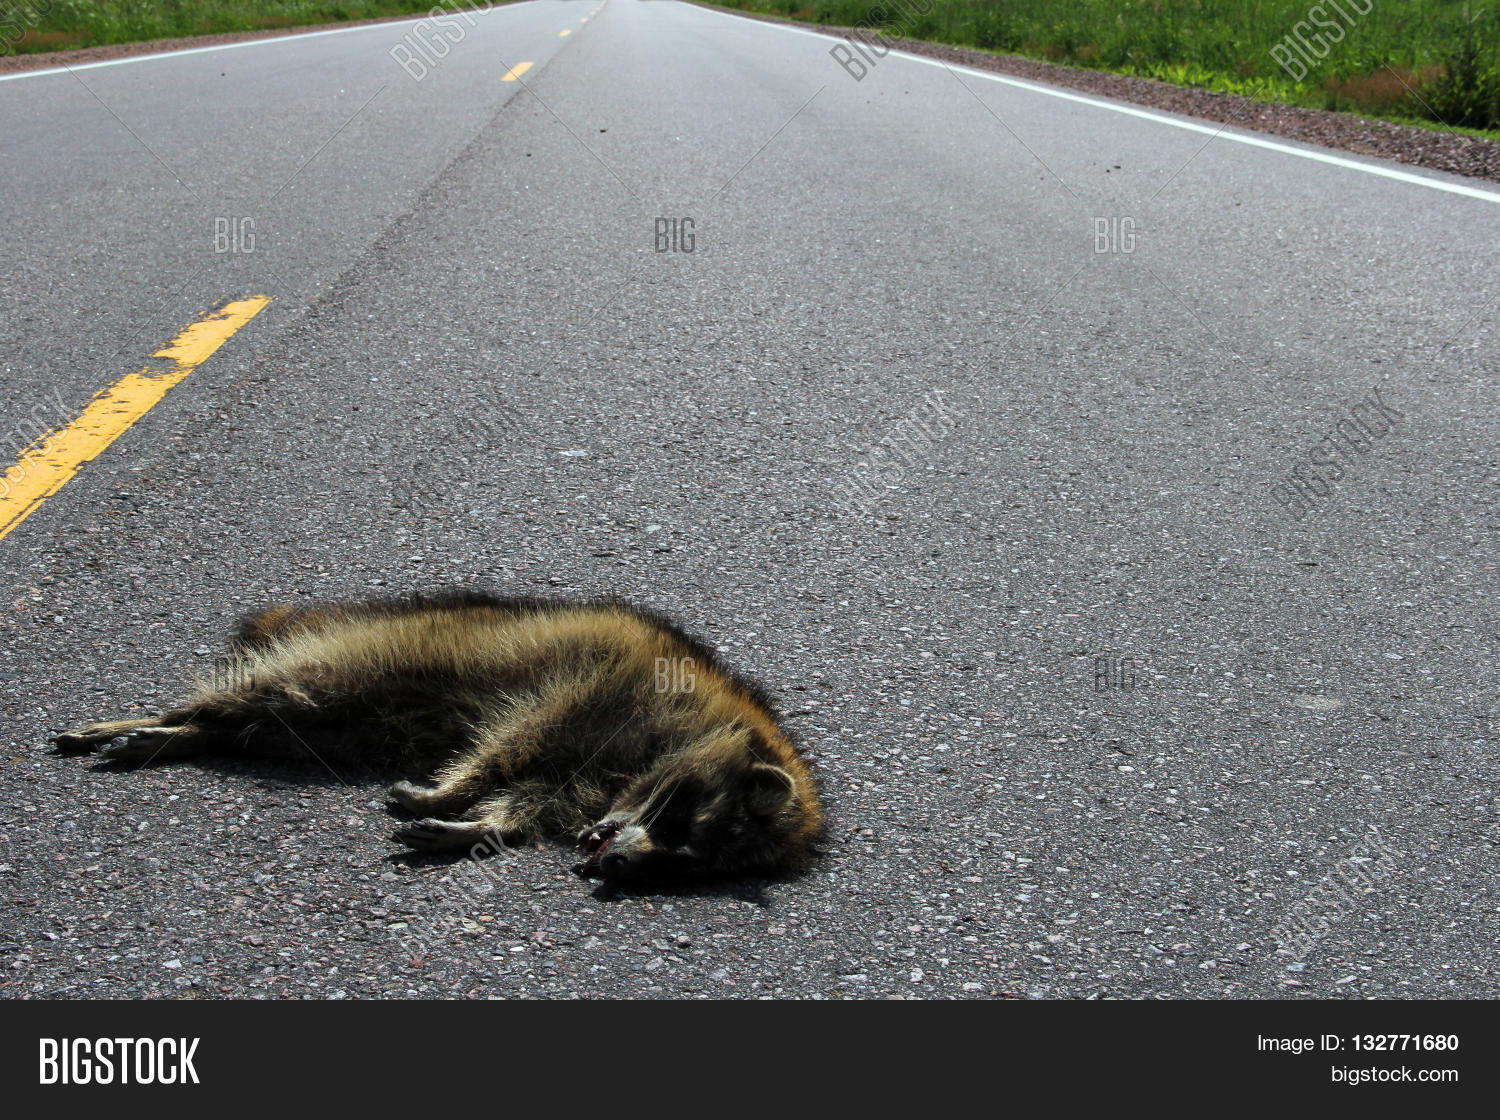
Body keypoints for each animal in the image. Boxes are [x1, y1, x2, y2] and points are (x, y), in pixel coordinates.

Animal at [53, 592, 822, 882]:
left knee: (255, 730)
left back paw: (187, 736)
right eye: (682, 818)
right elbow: (515, 737)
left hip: (340, 728)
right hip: (366, 658)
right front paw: (455, 792)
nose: (619, 864)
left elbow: (535, 796)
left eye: (689, 865)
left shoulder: (594, 783)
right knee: (256, 693)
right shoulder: (605, 687)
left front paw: (483, 825)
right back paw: (155, 721)